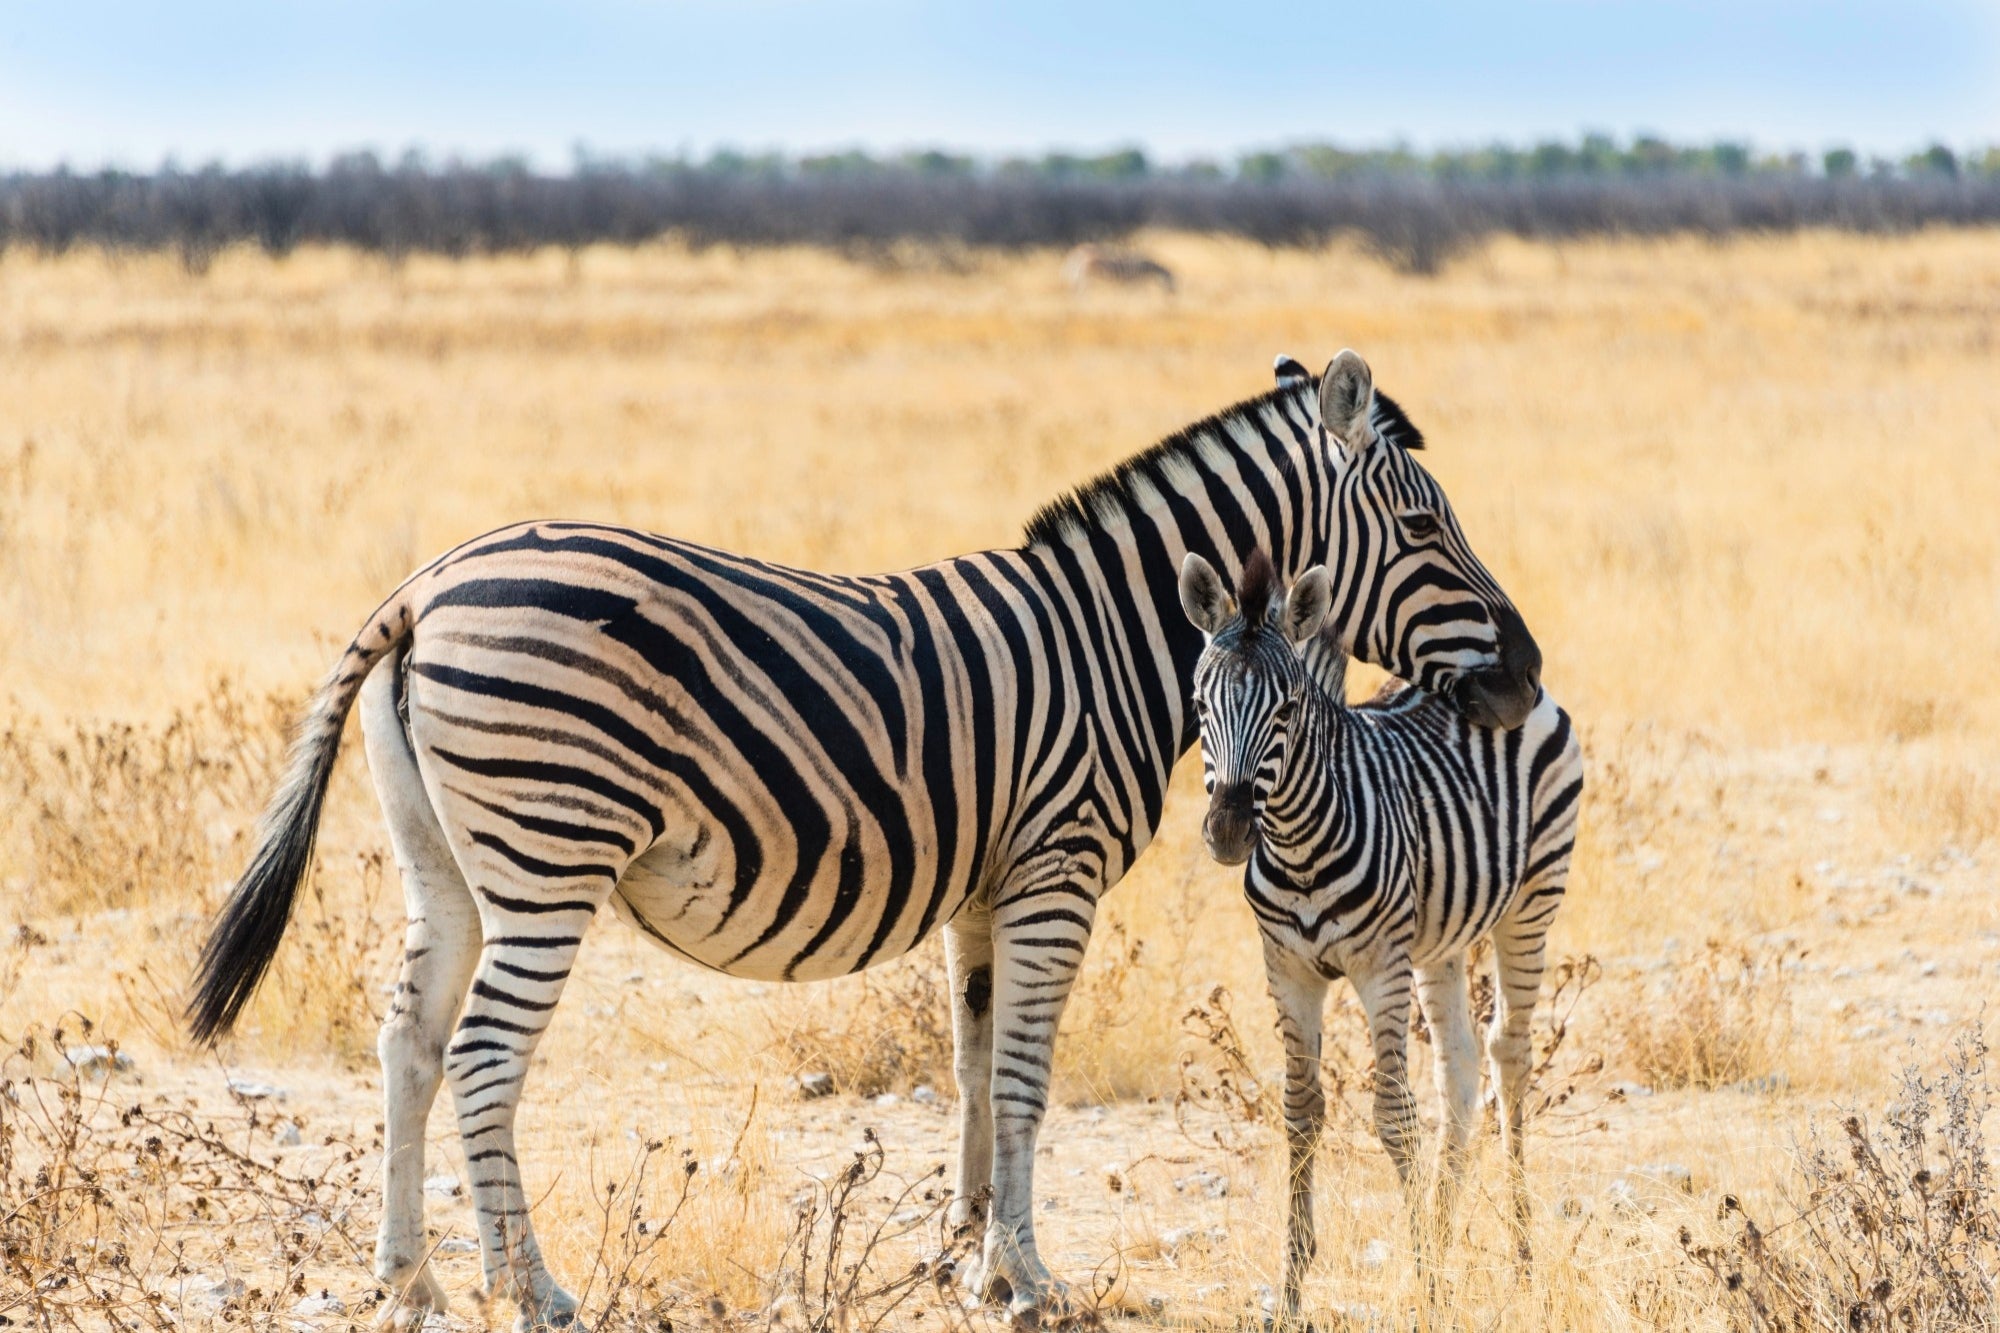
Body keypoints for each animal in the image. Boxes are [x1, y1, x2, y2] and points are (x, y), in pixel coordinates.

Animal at [1179, 549, 1582, 1321]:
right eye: (1199, 707)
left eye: (1287, 708)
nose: (1229, 832)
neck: (1300, 844)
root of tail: (1488, 678)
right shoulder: (1287, 969)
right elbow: (1300, 1111)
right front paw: (1295, 1286)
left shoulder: (1378, 966)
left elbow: (1393, 1115)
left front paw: (1423, 1284)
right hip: (1440, 942)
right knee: (1457, 1066)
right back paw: (1446, 1236)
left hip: (1532, 902)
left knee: (1509, 1055)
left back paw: (1520, 1258)